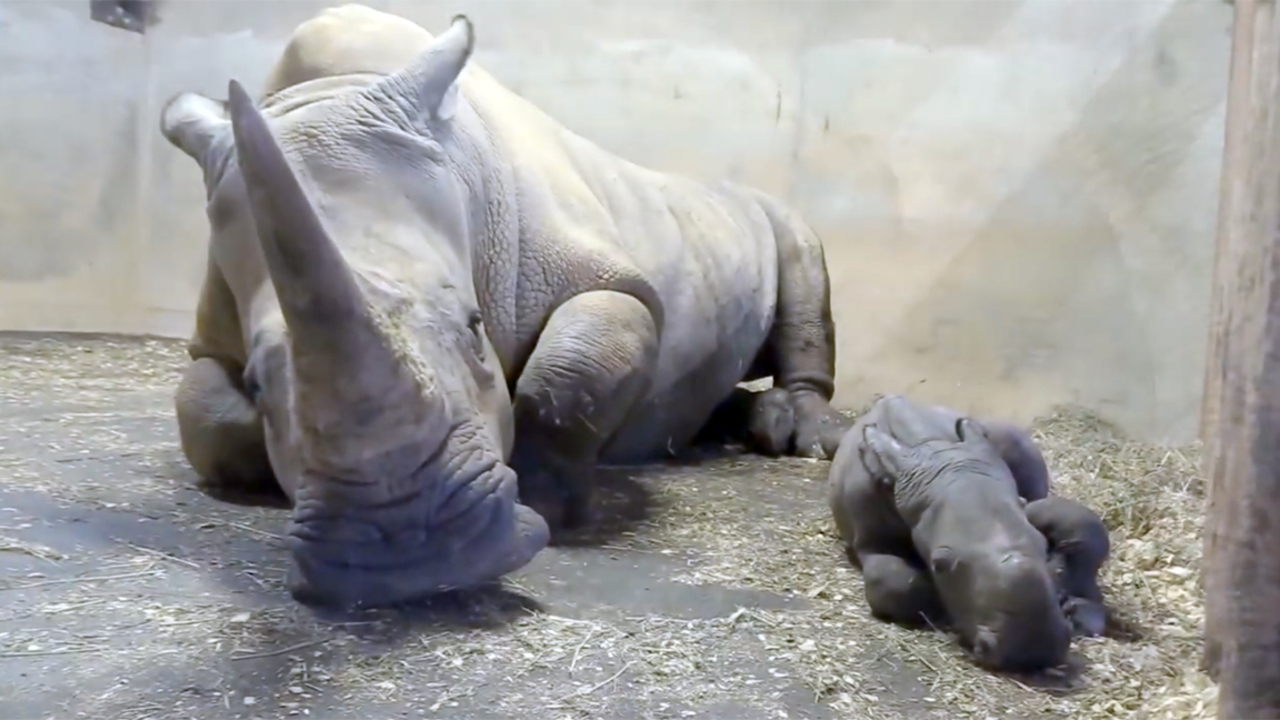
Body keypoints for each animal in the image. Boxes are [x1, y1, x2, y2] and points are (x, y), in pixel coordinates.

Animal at [159, 5, 849, 608]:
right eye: (260, 379)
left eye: (474, 329)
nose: (407, 560)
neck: (333, 90)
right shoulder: (215, 325)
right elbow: (204, 410)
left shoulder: (601, 277)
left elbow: (566, 378)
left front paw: (547, 505)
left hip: (767, 216)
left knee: (800, 250)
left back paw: (801, 436)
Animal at [828, 395, 1071, 672]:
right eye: (939, 564)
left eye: (1043, 545)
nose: (1032, 652)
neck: (933, 447)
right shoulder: (872, 537)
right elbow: (893, 580)